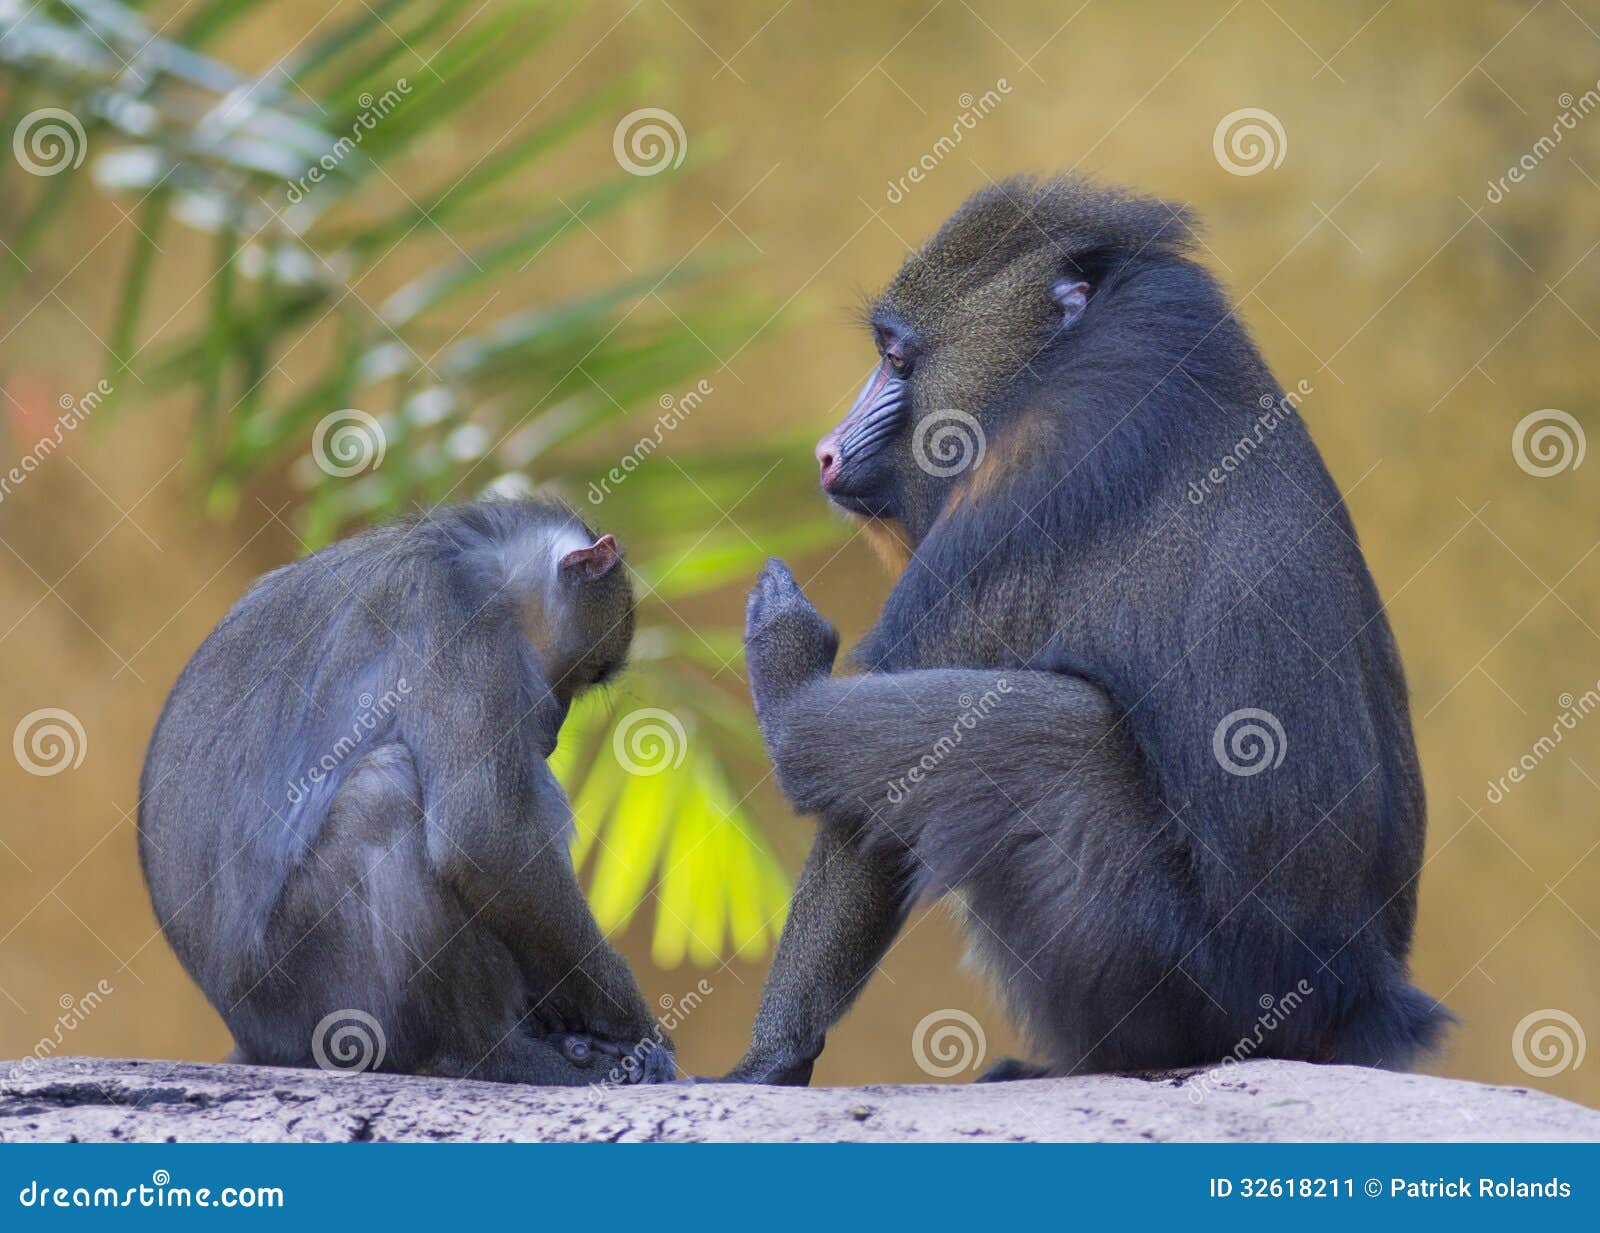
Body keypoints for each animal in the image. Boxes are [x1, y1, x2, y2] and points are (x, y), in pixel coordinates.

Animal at [139, 497, 675, 1085]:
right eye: (580, 676)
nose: (554, 728)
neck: (475, 554)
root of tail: (250, 1033)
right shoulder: (456, 616)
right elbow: (488, 841)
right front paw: (637, 1031)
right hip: (314, 997)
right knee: (386, 793)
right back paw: (487, 1054)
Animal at [727, 176, 1450, 1085]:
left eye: (896, 359)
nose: (826, 452)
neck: (1053, 354)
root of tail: (1357, 1000)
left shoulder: (1025, 469)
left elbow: (884, 805)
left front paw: (769, 1058)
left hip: (1185, 981)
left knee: (1052, 737)